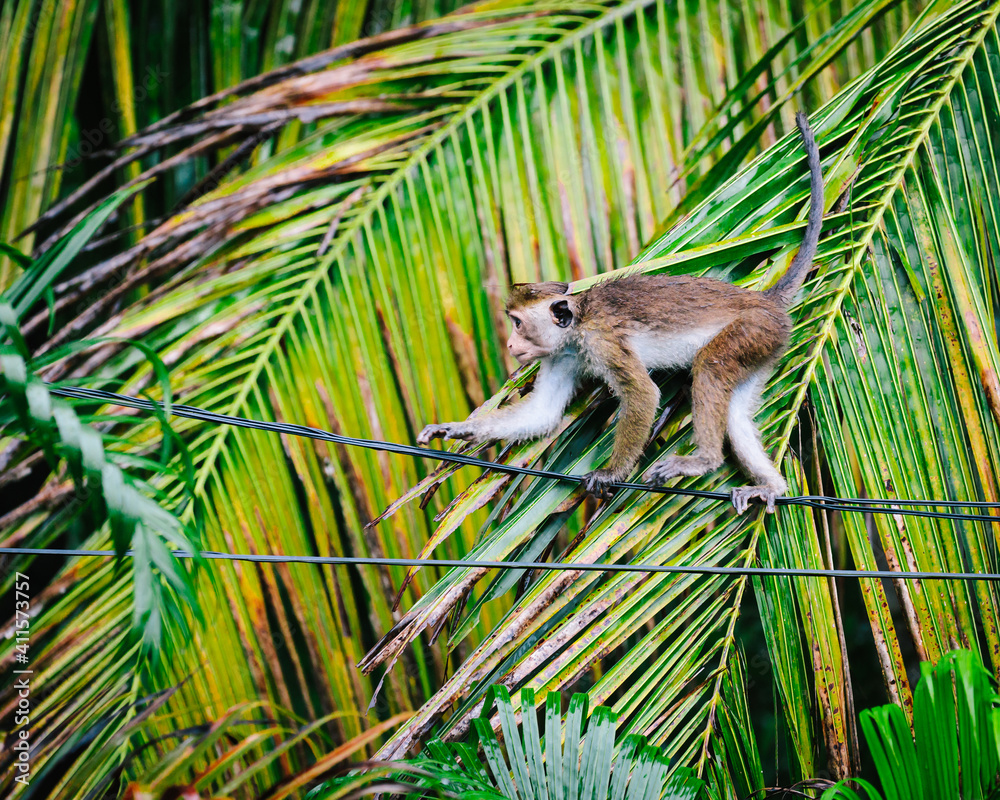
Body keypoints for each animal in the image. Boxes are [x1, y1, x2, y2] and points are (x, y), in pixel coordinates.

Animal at [418, 112, 823, 514]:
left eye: (518, 324)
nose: (510, 344)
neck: (576, 328)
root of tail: (764, 300)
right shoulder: (562, 357)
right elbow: (542, 413)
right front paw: (455, 429)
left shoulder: (602, 341)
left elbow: (643, 395)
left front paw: (612, 472)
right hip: (767, 345)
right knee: (735, 411)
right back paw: (770, 485)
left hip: (753, 328)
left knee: (710, 365)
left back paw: (704, 460)